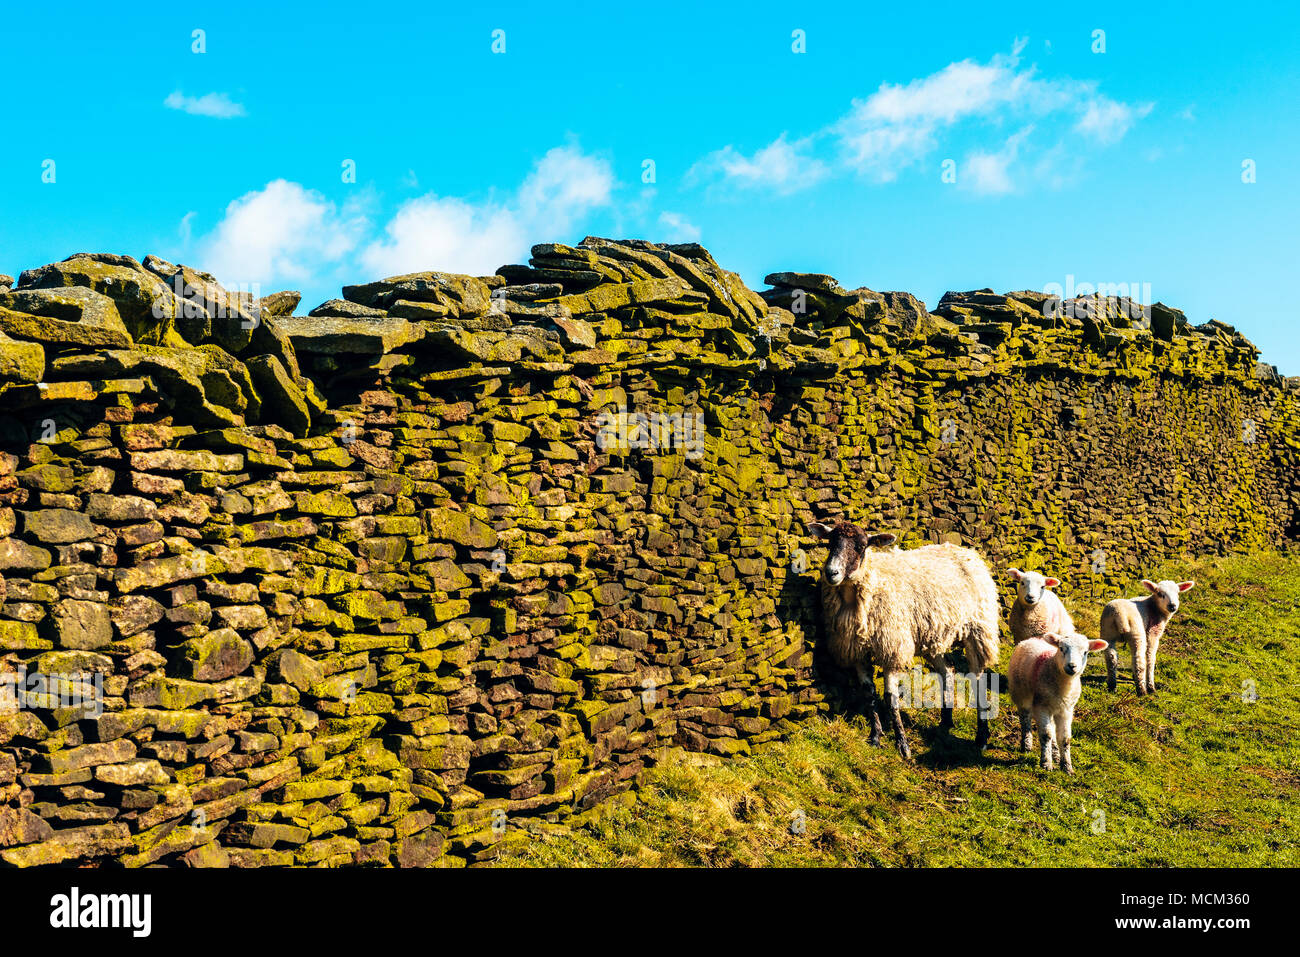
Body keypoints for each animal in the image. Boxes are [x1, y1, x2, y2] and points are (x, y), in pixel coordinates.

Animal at [808, 520, 1000, 759]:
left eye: (861, 546)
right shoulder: (857, 651)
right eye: (830, 542)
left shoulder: (892, 647)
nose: (831, 572)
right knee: (947, 671)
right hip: (933, 637)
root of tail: (968, 552)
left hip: (978, 630)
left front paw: (902, 743)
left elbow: (890, 697)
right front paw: (875, 736)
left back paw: (981, 737)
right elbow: (869, 694)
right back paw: (945, 723)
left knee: (978, 680)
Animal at [1008, 631, 1109, 773]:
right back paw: (1026, 745)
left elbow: (1065, 738)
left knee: (1052, 729)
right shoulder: (1041, 706)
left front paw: (1067, 766)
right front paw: (1046, 763)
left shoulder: (1066, 710)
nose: (1072, 666)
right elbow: (1046, 735)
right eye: (1061, 648)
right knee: (1025, 719)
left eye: (1085, 652)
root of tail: (1031, 639)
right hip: (1021, 695)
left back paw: (1055, 753)